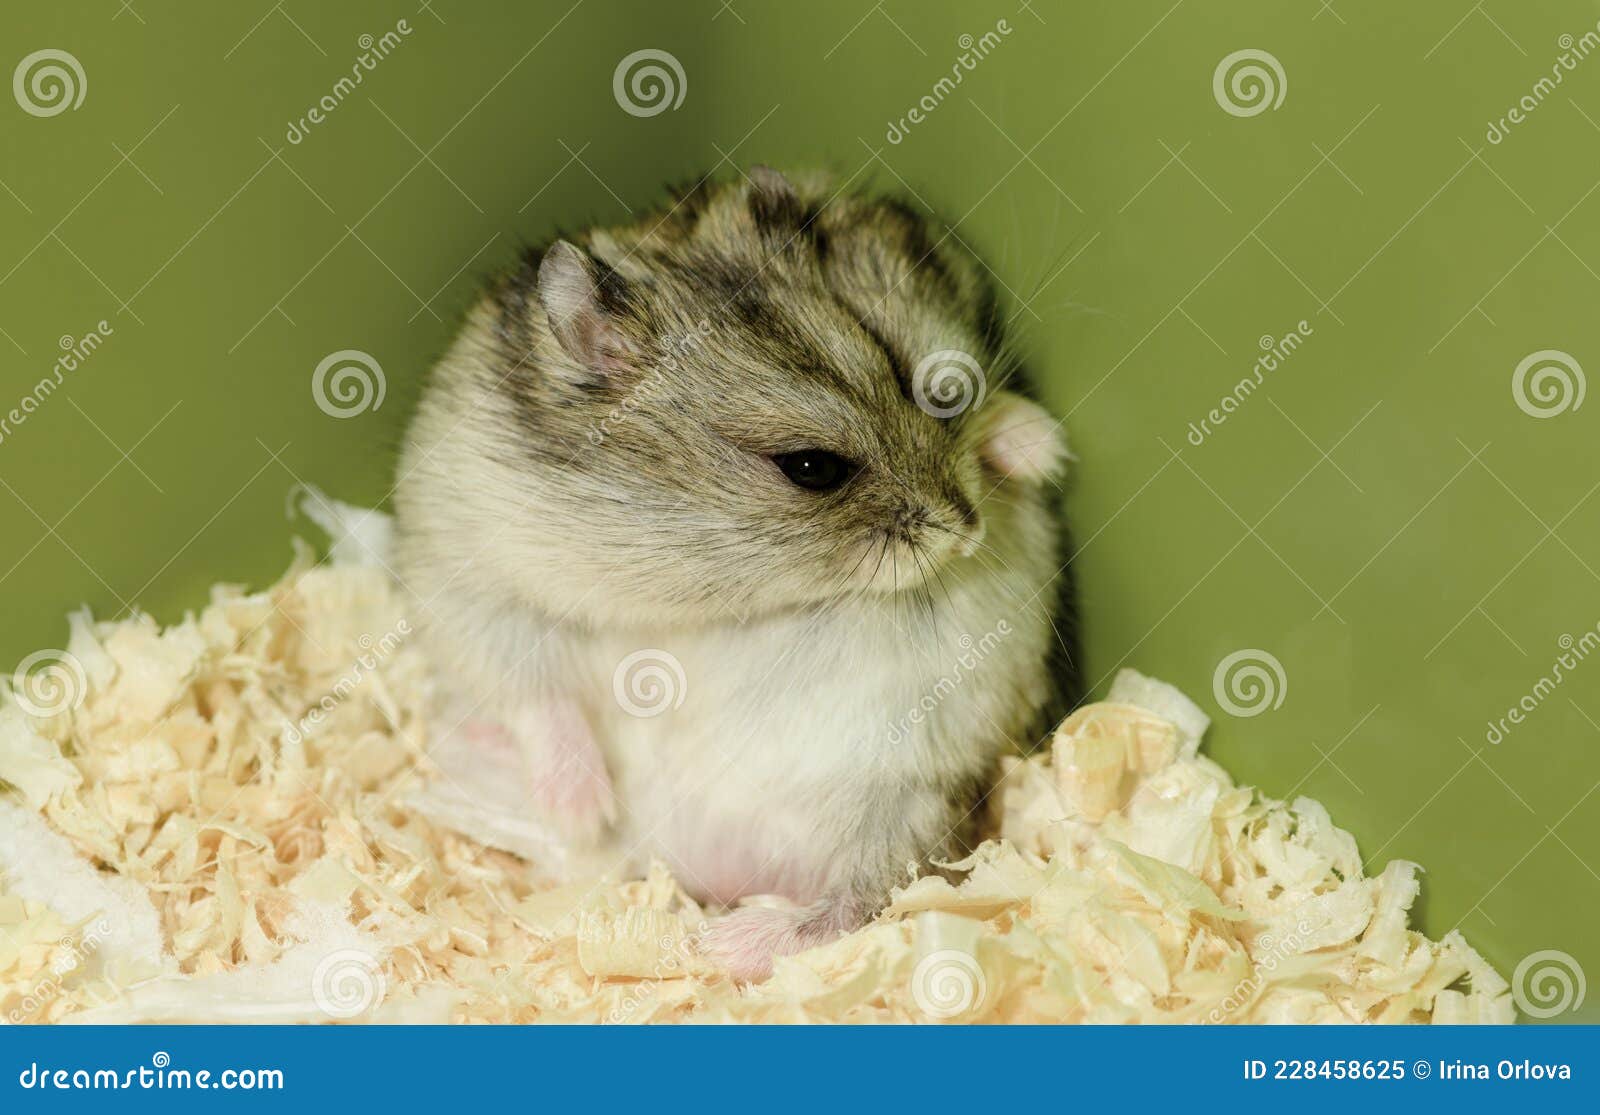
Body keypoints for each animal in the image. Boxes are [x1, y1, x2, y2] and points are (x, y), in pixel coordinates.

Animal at [393, 167, 1080, 979]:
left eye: (940, 392)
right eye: (811, 468)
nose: (967, 532)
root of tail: (687, 855)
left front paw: (1044, 448)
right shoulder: (466, 569)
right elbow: (534, 691)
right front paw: (583, 807)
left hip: (903, 800)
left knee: (863, 901)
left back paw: (719, 945)